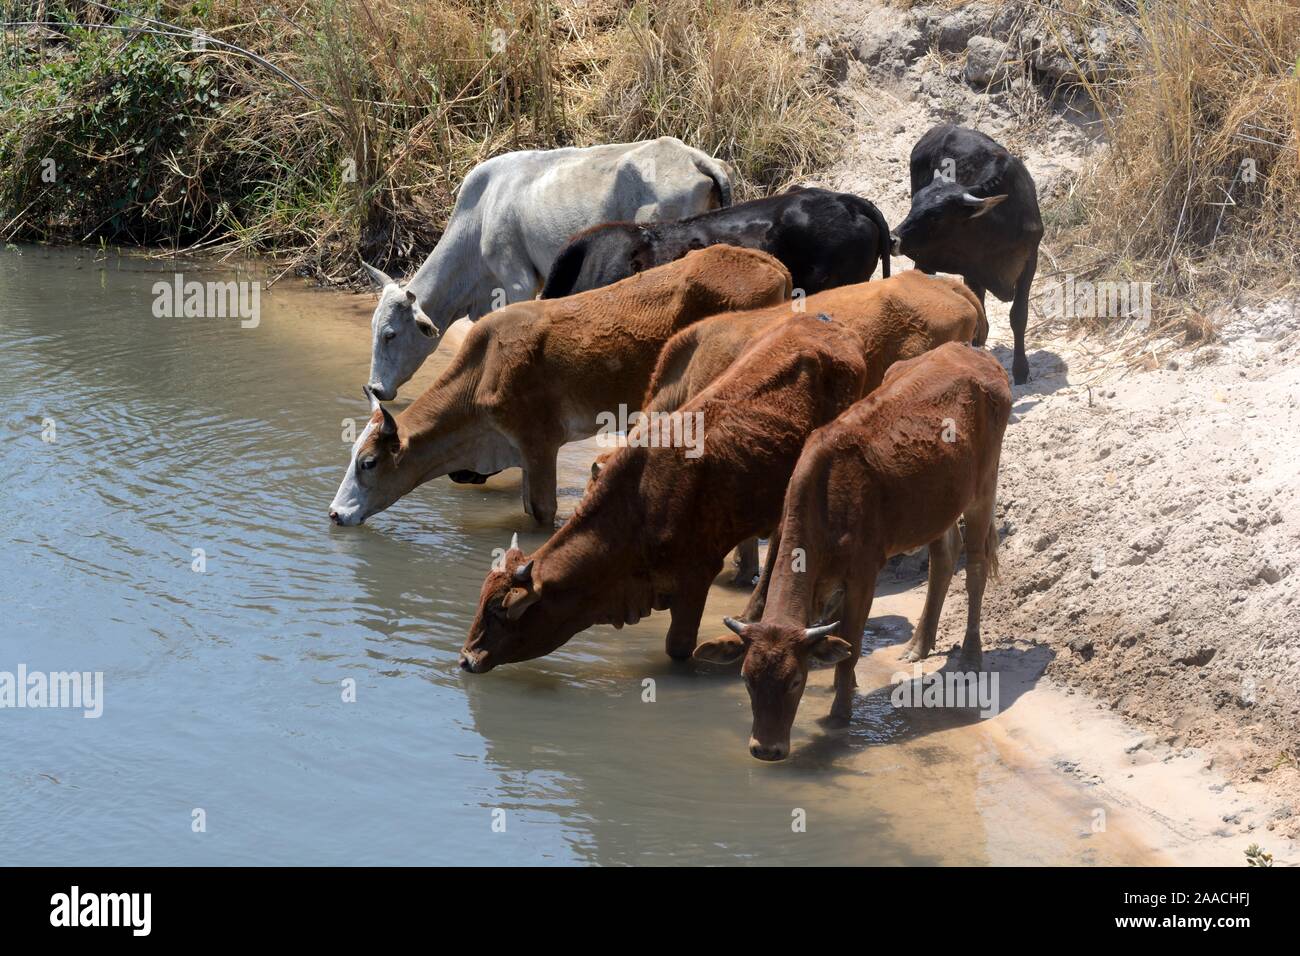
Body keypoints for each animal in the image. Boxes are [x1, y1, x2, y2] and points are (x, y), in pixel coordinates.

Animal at [328, 245, 791, 528]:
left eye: (368, 462)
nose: (334, 514)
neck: (483, 372)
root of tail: (771, 265)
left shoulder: (539, 444)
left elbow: (541, 512)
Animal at [458, 312, 870, 674]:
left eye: (498, 612)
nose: (466, 659)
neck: (639, 508)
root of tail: (826, 322)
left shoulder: (696, 577)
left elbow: (679, 647)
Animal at [692, 342, 1012, 760]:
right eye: (746, 679)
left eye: (795, 681)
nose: (766, 749)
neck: (826, 499)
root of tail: (972, 352)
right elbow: (837, 640)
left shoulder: (864, 572)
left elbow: (853, 642)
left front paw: (840, 713)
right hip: (938, 505)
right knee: (944, 555)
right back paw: (919, 645)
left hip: (983, 488)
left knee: (974, 565)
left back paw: (972, 655)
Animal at [890, 124, 1042, 385]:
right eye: (914, 205)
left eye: (935, 216)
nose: (893, 238)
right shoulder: (972, 270)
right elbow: (980, 323)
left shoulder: (1029, 260)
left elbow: (1018, 316)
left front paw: (1021, 371)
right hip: (925, 258)